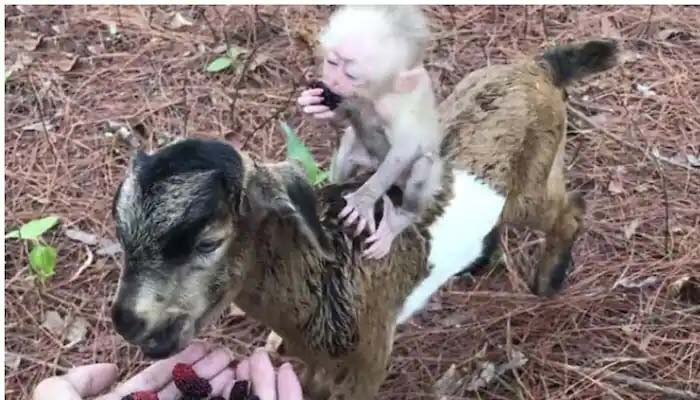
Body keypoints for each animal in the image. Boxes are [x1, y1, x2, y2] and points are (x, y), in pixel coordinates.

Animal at [110, 39, 619, 399]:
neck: (322, 276)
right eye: (123, 236)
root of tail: (541, 68)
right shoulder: (315, 359)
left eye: (208, 242)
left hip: (534, 178)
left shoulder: (368, 361)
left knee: (569, 209)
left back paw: (548, 281)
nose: (127, 321)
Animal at [297, 5, 444, 260]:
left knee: (421, 166)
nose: (333, 80)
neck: (373, 96)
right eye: (332, 63)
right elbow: (344, 114)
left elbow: (406, 148)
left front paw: (364, 199)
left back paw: (400, 220)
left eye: (351, 75)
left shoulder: (393, 105)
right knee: (348, 148)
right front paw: (315, 104)